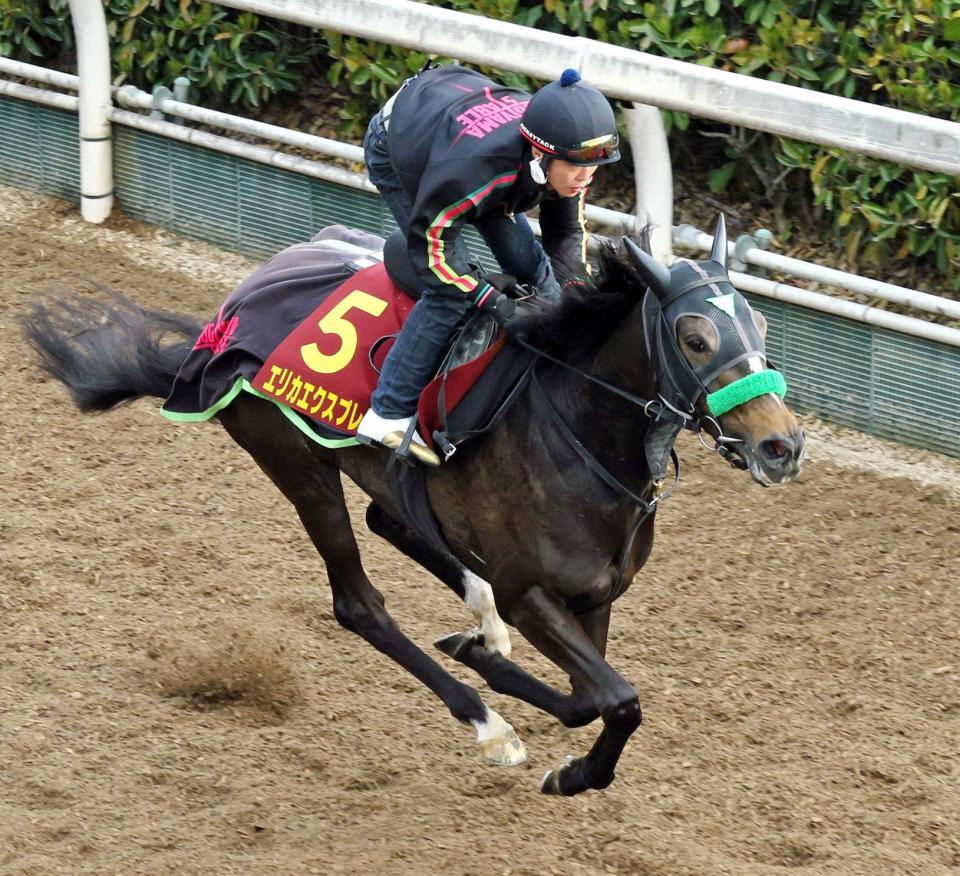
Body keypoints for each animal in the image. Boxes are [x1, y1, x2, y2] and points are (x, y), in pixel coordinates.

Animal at [21, 215, 804, 796]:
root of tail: (224, 319)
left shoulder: (595, 594)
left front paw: (487, 659)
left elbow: (592, 697)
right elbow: (616, 699)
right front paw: (562, 764)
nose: (782, 445)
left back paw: (480, 626)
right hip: (296, 462)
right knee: (358, 603)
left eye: (763, 326)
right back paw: (489, 723)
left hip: (384, 477)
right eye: (695, 337)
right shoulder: (533, 591)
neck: (578, 431)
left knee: (392, 520)